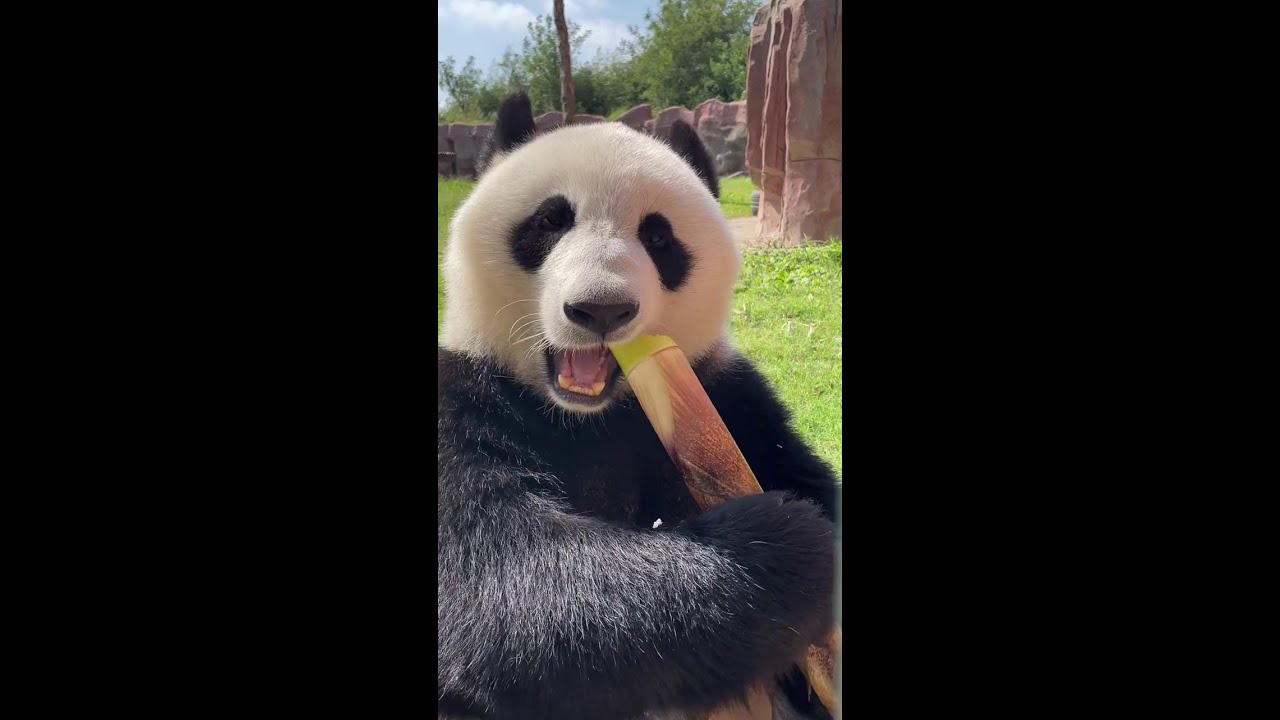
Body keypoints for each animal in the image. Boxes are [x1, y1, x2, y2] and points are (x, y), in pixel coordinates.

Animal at [438, 92, 840, 720]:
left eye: (658, 238)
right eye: (551, 220)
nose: (601, 309)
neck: (590, 417)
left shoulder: (727, 395)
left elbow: (801, 471)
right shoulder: (462, 398)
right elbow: (505, 578)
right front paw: (787, 544)